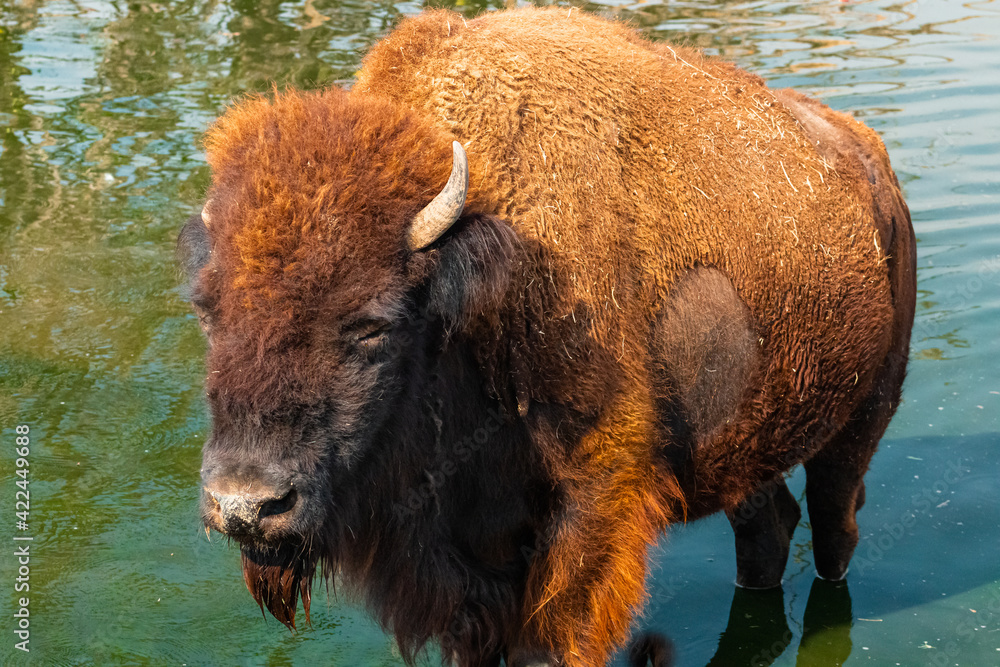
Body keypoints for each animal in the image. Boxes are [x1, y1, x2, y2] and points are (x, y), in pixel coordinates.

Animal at [177, 8, 915, 667]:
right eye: (207, 310)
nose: (246, 505)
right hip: (747, 442)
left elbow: (552, 640)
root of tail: (870, 164)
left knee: (834, 526)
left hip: (863, 419)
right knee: (767, 530)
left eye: (371, 325)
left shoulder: (592, 504)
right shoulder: (470, 556)